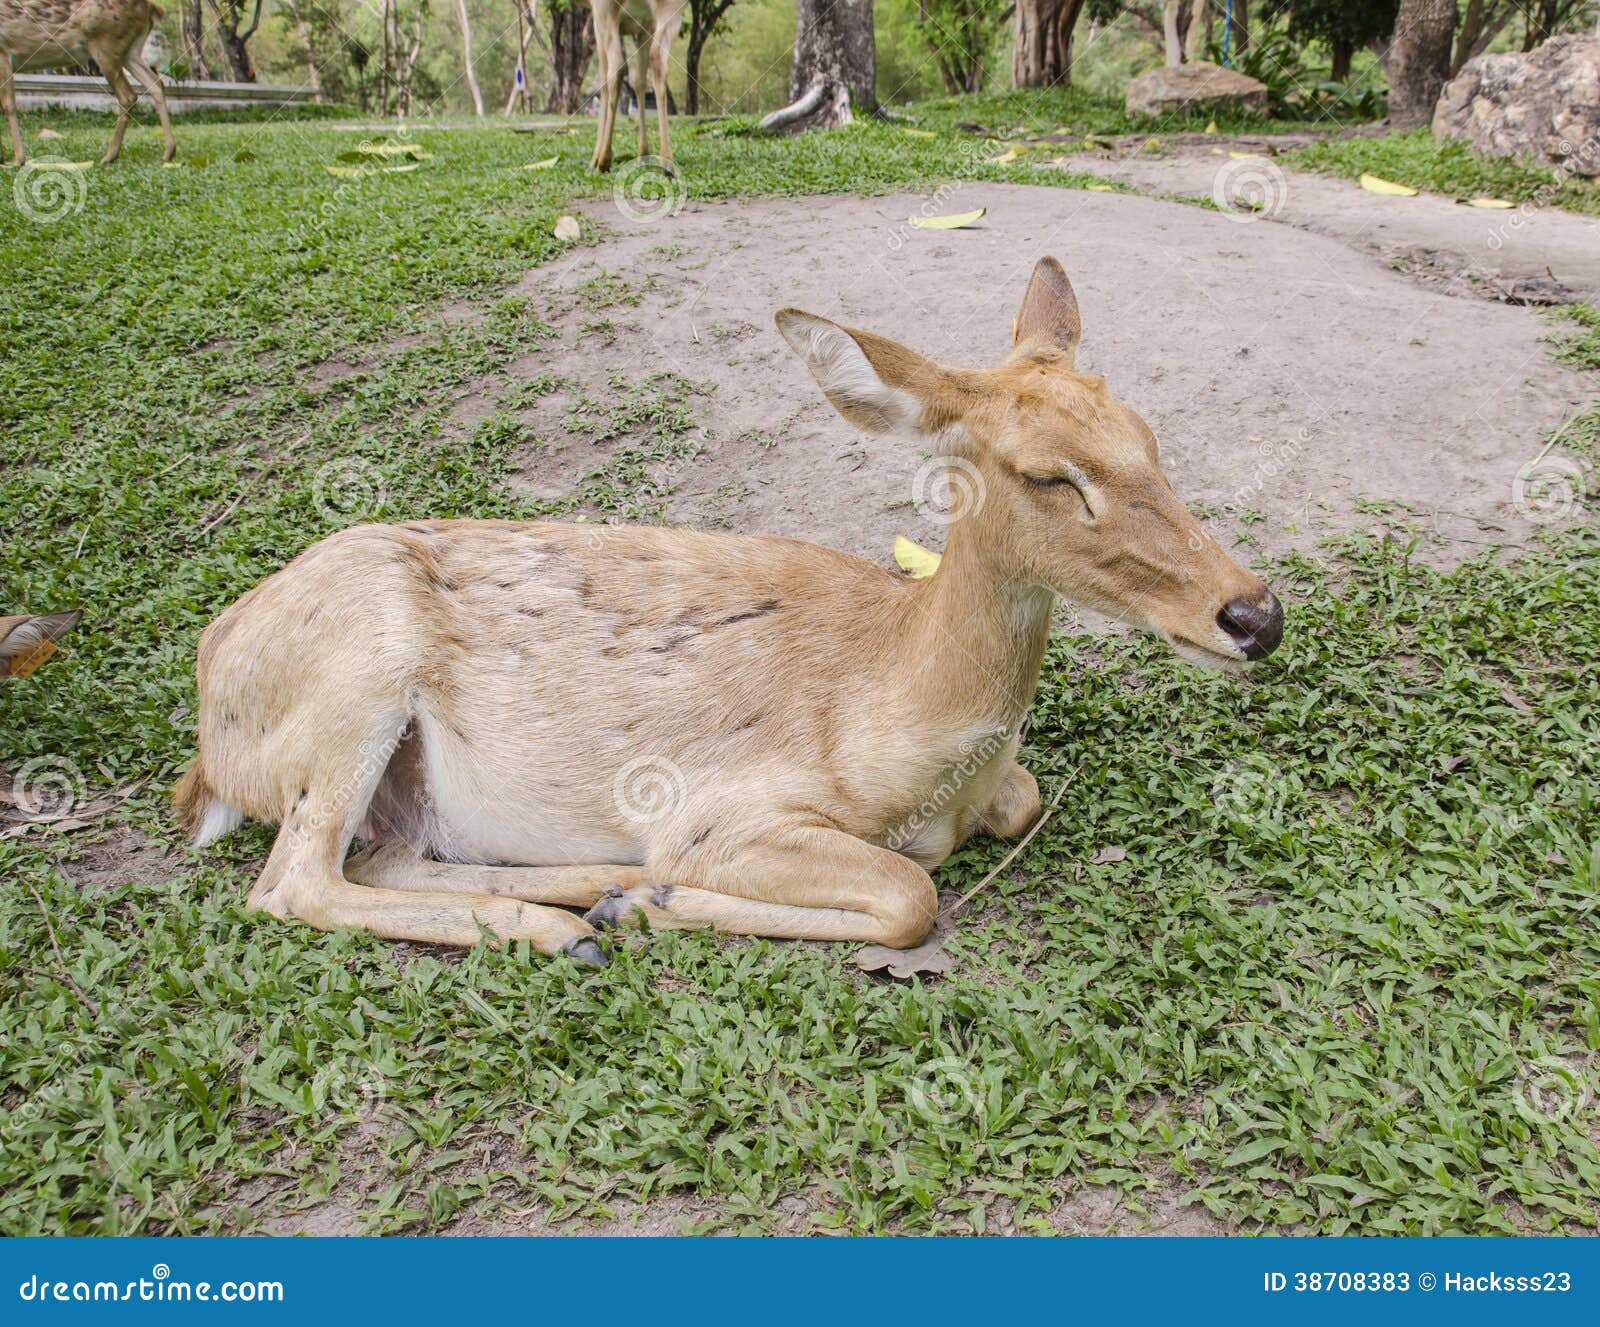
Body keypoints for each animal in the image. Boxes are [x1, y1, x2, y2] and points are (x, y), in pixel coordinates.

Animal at [0, 0, 176, 167]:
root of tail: (151, 7)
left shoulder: (3, 51)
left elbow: (9, 105)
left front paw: (18, 160)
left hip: (106, 44)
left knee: (128, 96)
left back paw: (109, 156)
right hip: (130, 50)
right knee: (156, 83)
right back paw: (169, 152)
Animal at [175, 258, 1284, 967]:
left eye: (1149, 435)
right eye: (1050, 474)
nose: (1254, 614)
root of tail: (209, 738)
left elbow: (1020, 800)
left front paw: (644, 901)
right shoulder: (737, 806)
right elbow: (910, 895)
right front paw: (658, 908)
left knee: (386, 854)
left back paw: (592, 893)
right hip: (355, 681)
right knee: (293, 882)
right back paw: (579, 922)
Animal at [587, 0, 686, 176]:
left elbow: (605, 80)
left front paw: (594, 159)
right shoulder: (645, 26)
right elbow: (639, 81)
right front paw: (643, 154)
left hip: (604, 10)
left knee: (616, 68)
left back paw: (604, 160)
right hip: (670, 8)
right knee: (657, 58)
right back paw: (668, 164)